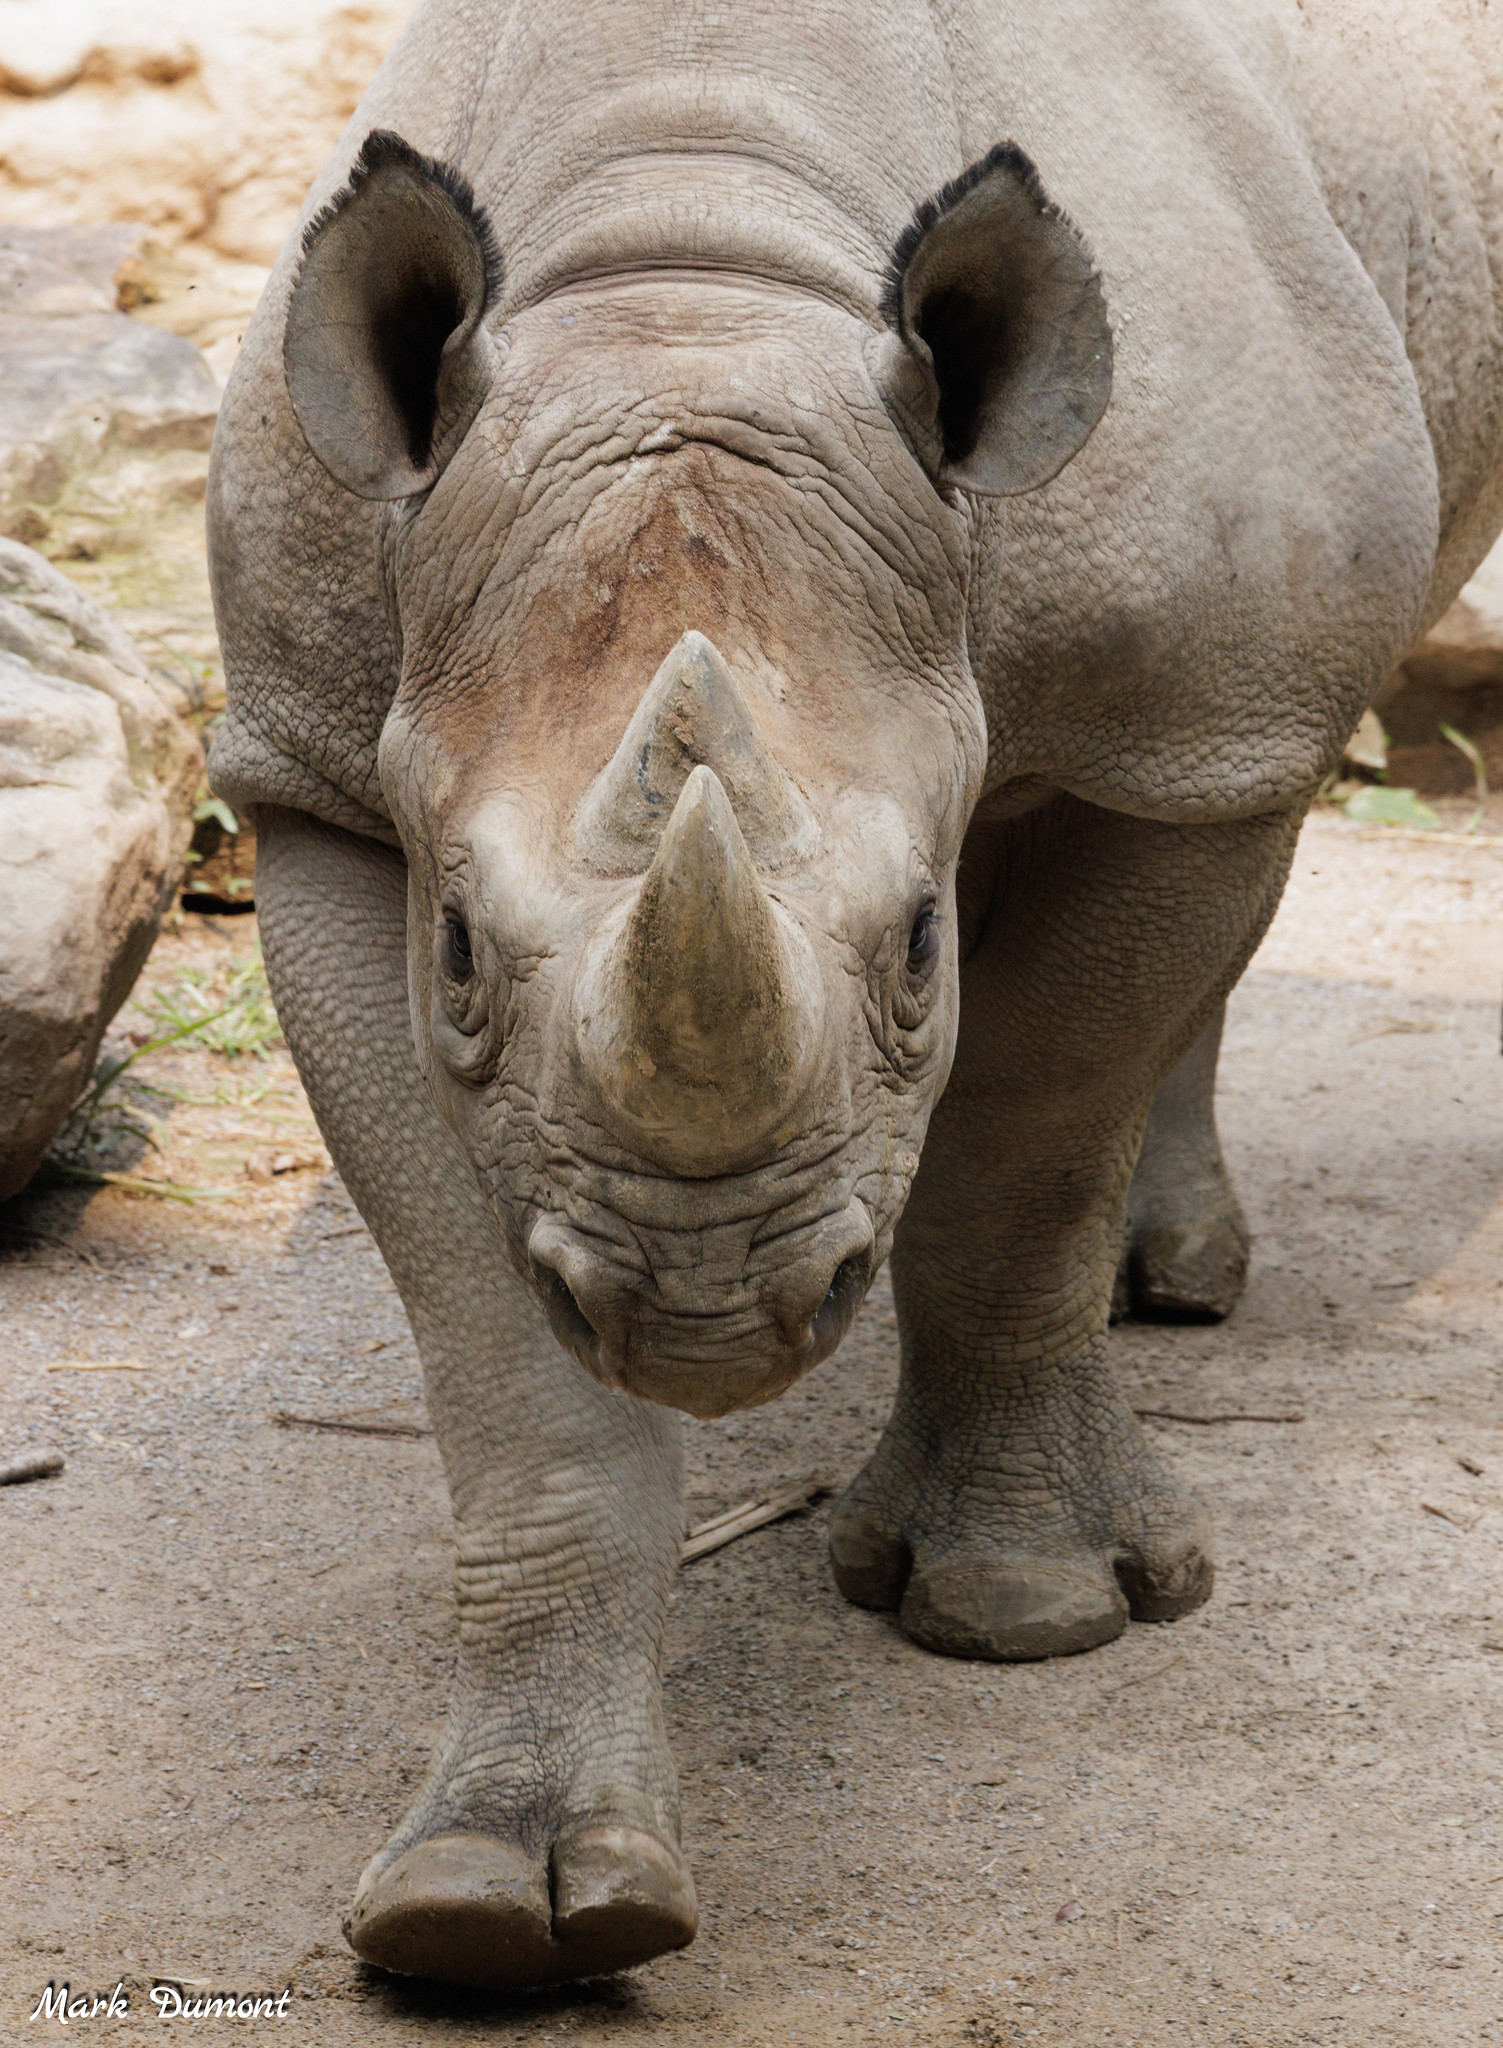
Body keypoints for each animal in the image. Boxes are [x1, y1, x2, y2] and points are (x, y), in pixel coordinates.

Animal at [207, 0, 1503, 1990]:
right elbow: (508, 1368)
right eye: (461, 953)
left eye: (912, 947)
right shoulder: (321, 771)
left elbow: (1028, 1137)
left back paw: (1172, 1285)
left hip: (1252, 650)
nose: (706, 1312)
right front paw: (492, 1896)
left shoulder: (1181, 705)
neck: (696, 273)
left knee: (1259, 805)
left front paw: (1025, 1604)